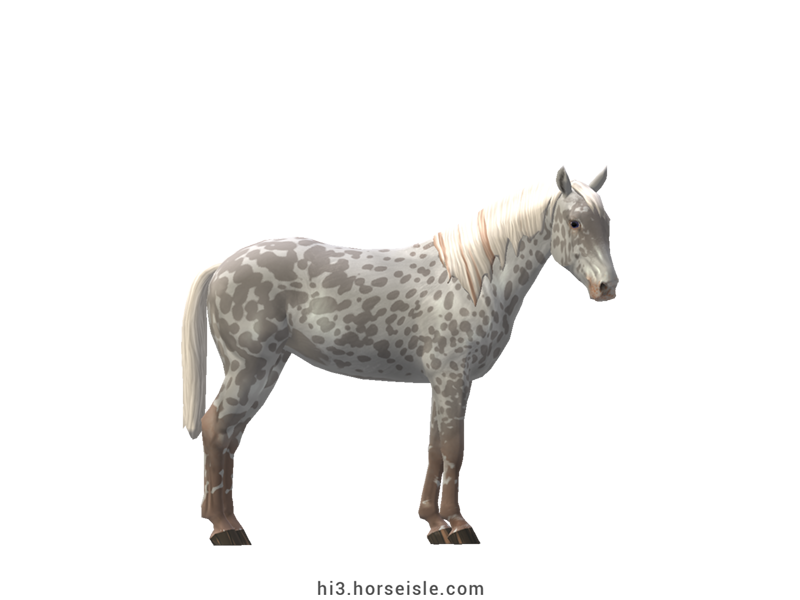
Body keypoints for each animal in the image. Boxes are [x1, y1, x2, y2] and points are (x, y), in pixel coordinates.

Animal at [181, 166, 618, 537]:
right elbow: (453, 445)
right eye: (575, 222)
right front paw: (455, 521)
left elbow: (436, 446)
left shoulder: (449, 381)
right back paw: (220, 525)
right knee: (214, 429)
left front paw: (431, 518)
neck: (473, 281)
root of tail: (223, 266)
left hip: (261, 371)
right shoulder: (450, 375)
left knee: (226, 433)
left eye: (603, 220)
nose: (605, 286)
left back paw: (221, 516)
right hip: (249, 367)